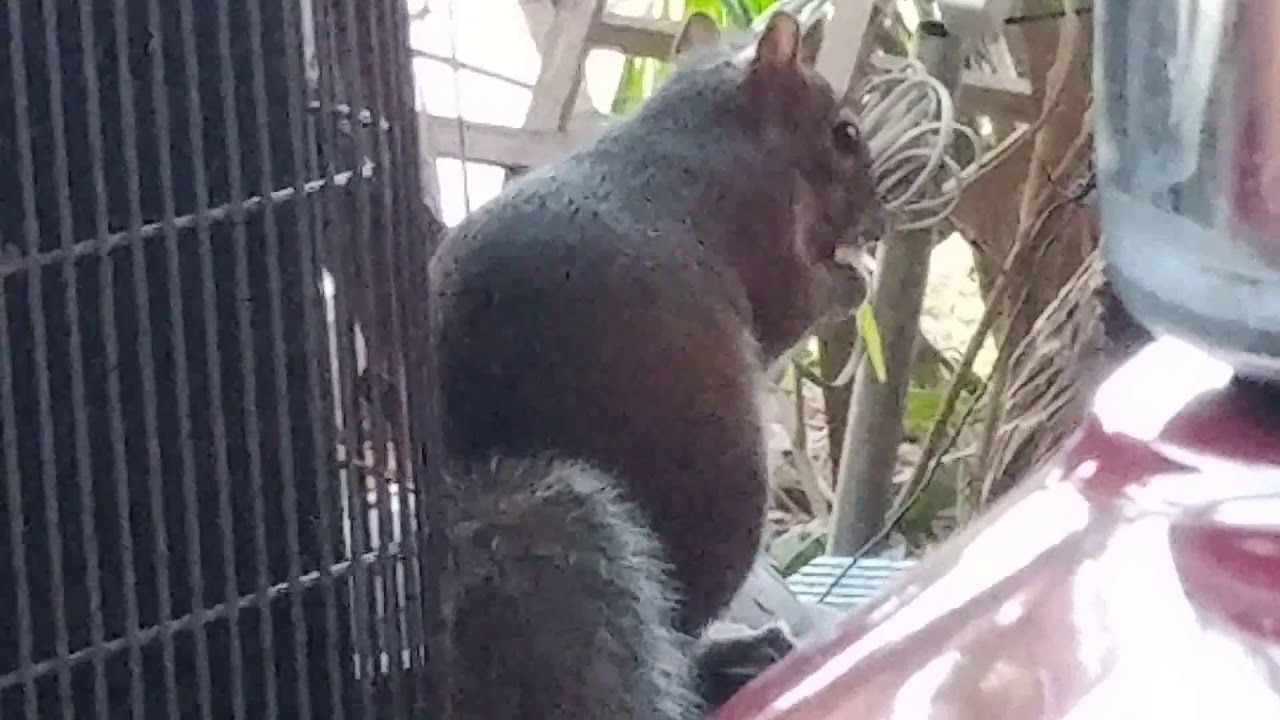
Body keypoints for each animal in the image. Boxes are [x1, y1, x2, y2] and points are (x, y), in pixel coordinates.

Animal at [428, 10, 882, 718]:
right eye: (844, 134)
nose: (880, 211)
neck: (705, 128)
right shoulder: (766, 244)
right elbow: (796, 302)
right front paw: (853, 282)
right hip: (724, 500)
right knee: (678, 629)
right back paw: (727, 658)